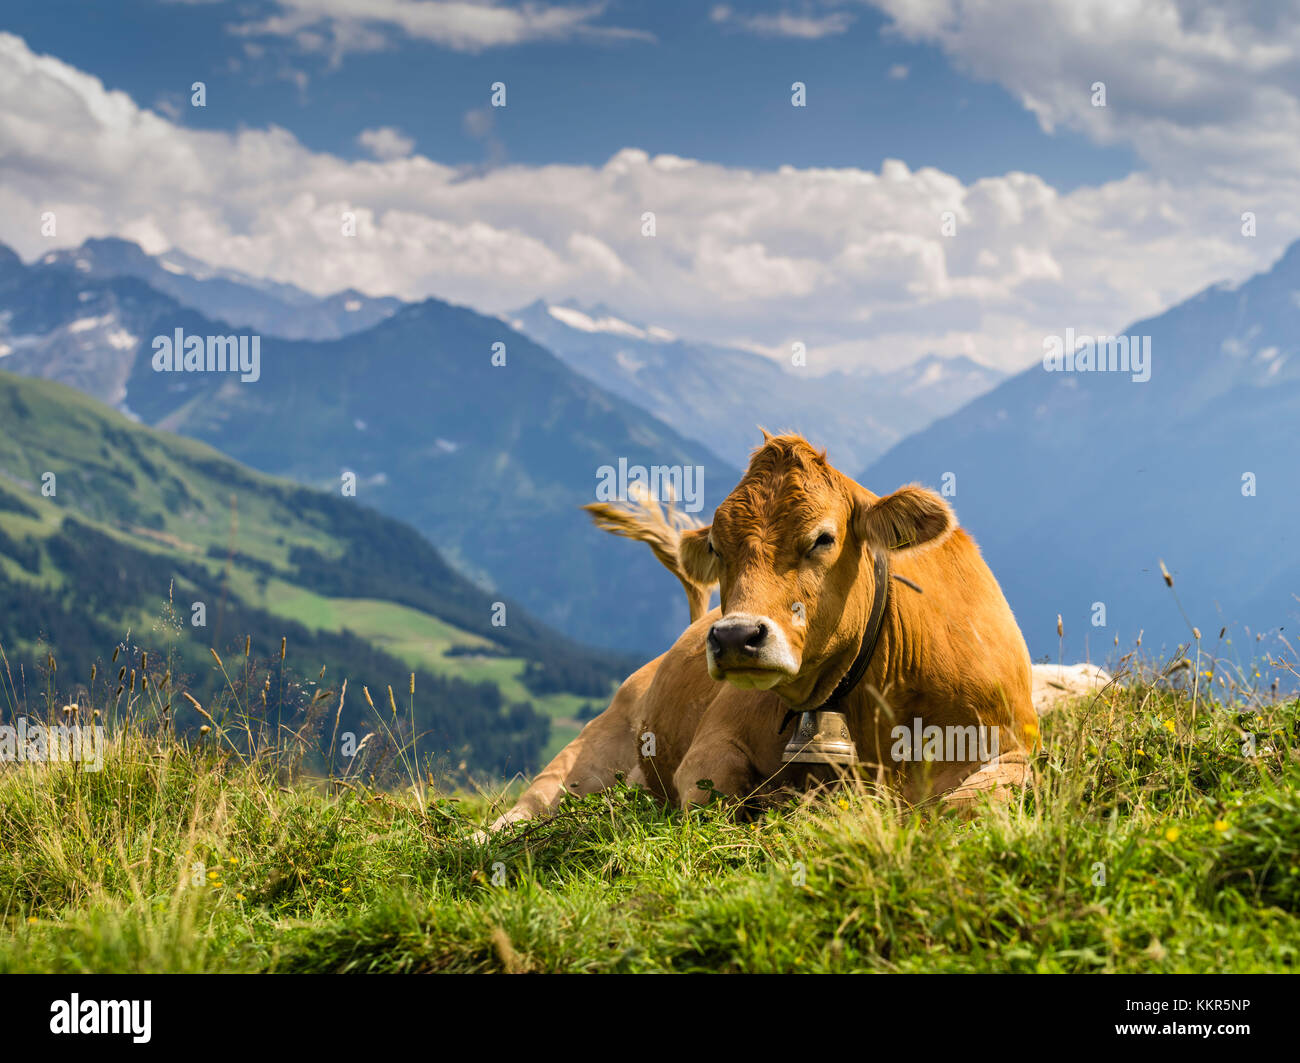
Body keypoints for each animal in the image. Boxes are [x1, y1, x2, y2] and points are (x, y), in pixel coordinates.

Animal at [485, 433, 1036, 834]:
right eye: (717, 546)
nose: (734, 638)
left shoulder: (1010, 748)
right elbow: (714, 797)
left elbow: (969, 805)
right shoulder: (711, 746)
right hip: (586, 756)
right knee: (523, 811)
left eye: (823, 539)